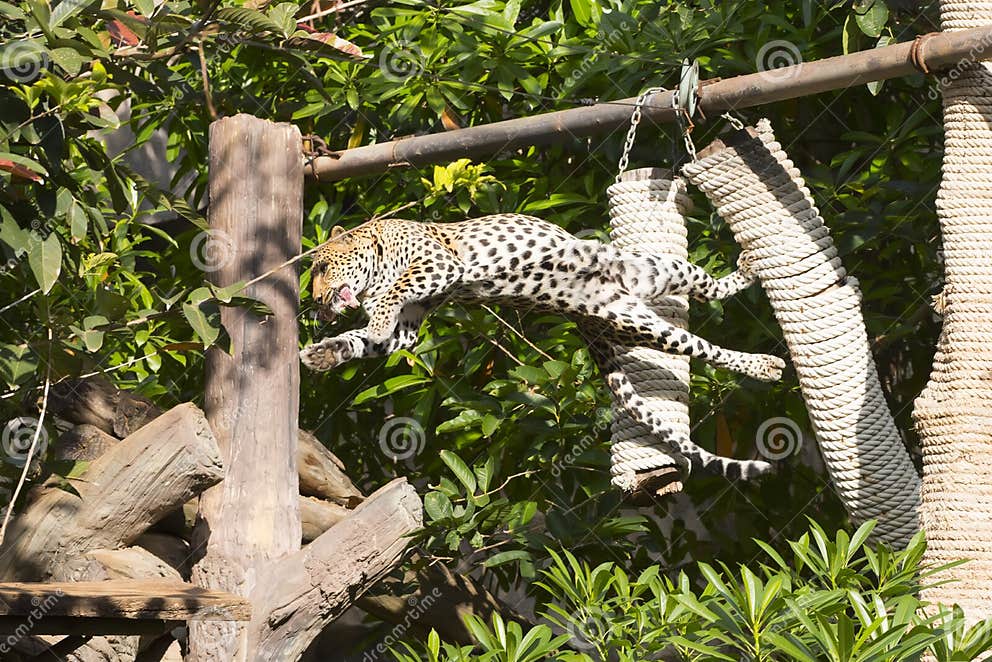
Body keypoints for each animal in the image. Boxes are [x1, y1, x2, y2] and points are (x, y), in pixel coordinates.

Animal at [300, 213, 784, 481]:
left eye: (321, 268)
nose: (317, 303)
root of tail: (587, 314)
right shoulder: (412, 323)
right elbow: (366, 339)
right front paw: (323, 352)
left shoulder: (436, 264)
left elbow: (390, 296)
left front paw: (370, 320)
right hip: (634, 320)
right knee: (695, 346)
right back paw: (766, 365)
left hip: (655, 267)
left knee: (709, 298)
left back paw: (754, 303)